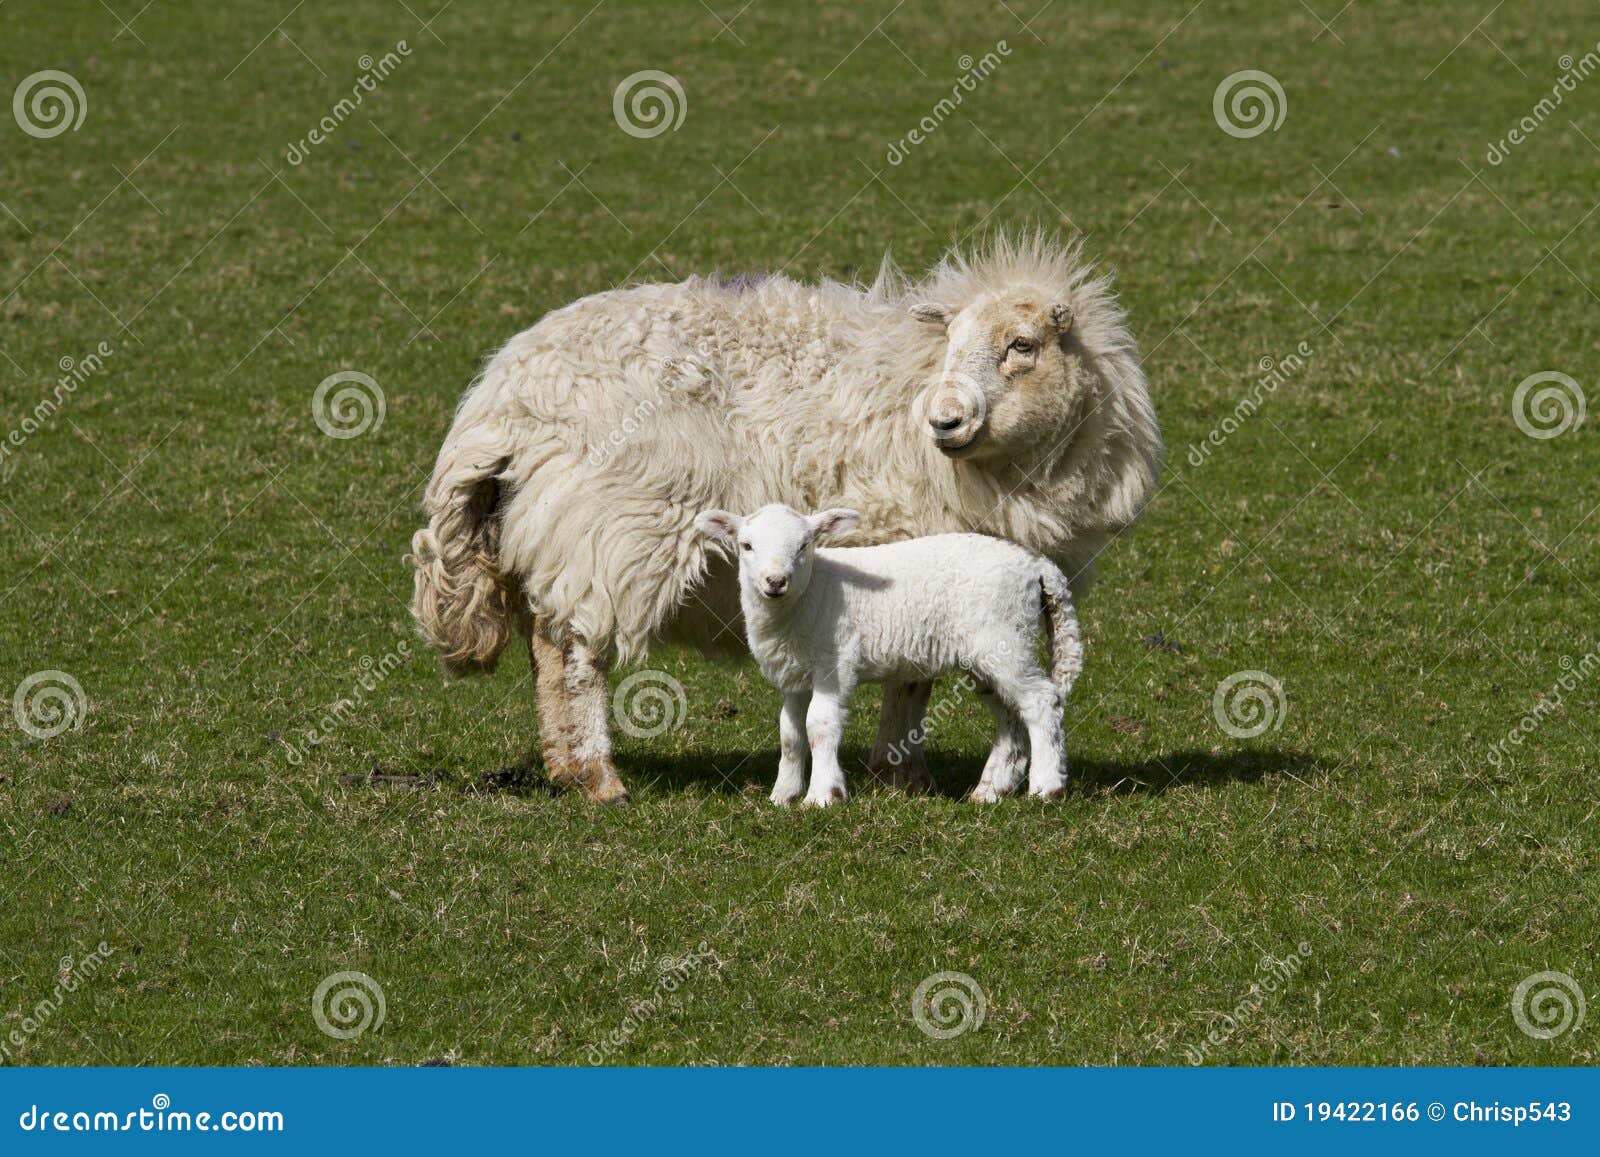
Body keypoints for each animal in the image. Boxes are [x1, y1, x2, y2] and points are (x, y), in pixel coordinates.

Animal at [693, 504, 1084, 806]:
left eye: (804, 545)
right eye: (746, 546)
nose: (775, 581)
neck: (811, 593)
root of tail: (1037, 566)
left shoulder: (834, 664)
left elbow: (819, 726)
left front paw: (823, 796)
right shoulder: (794, 674)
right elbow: (790, 734)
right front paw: (783, 796)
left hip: (1006, 637)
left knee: (1041, 701)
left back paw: (1046, 788)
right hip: (989, 653)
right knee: (1010, 715)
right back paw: (990, 791)